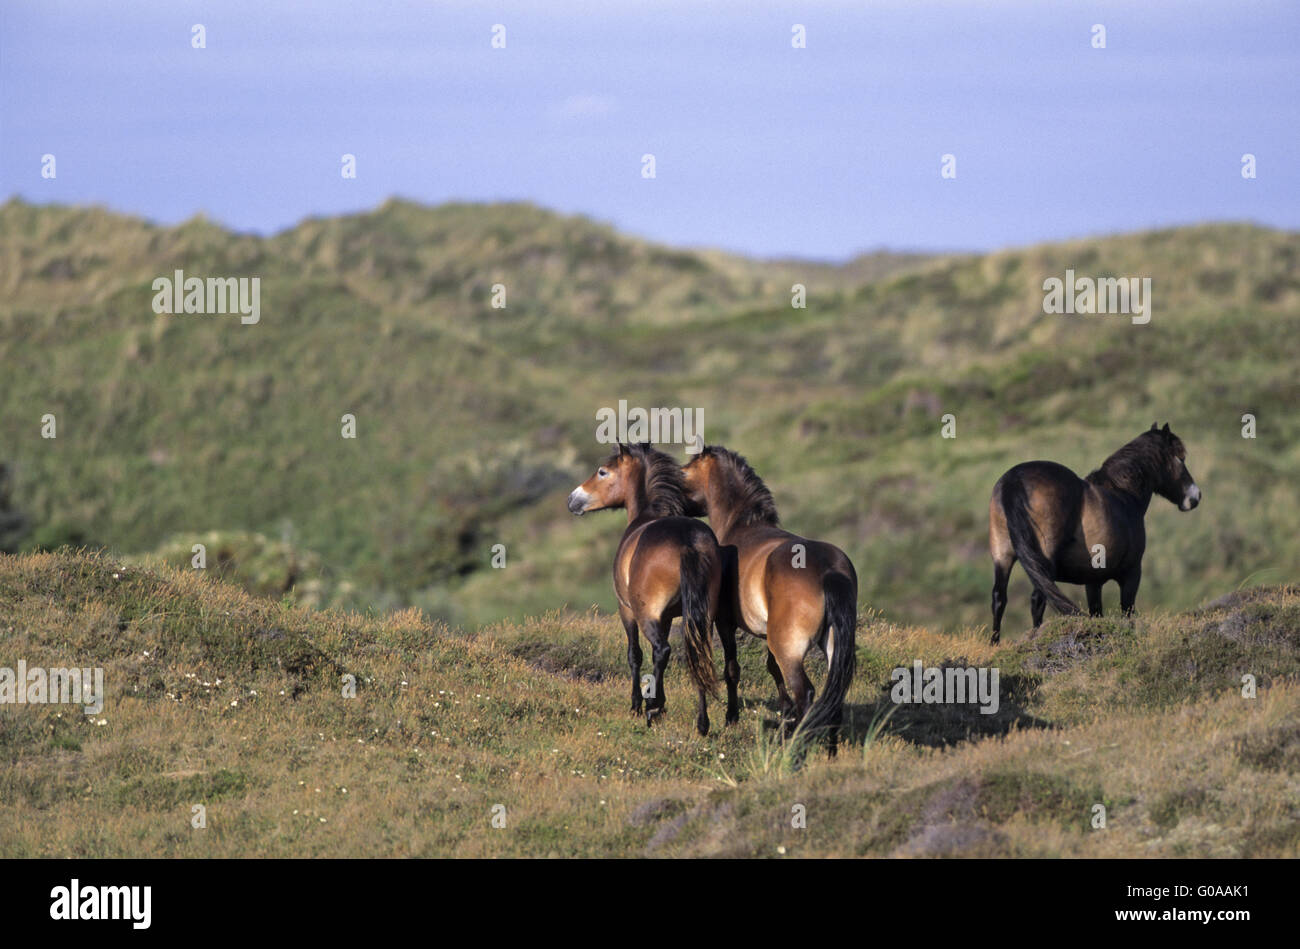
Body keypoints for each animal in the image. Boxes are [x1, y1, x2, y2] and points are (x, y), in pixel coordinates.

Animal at [567, 442, 739, 735]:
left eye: (602, 472)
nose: (572, 499)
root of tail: (688, 542)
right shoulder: (668, 617)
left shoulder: (627, 611)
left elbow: (635, 655)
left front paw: (638, 704)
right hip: (702, 617)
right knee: (698, 654)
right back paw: (702, 723)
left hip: (646, 615)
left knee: (662, 651)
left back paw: (653, 708)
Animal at [681, 445, 857, 752]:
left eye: (684, 472)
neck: (742, 526)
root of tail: (829, 570)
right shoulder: (767, 634)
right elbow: (772, 669)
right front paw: (784, 713)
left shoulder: (725, 623)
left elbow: (732, 669)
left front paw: (731, 717)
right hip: (831, 644)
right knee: (835, 691)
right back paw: (830, 750)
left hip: (790, 649)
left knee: (806, 691)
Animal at [988, 422, 1201, 644]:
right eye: (1180, 457)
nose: (1195, 496)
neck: (1124, 495)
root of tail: (1015, 480)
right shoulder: (1132, 573)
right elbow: (1127, 611)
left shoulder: (1092, 582)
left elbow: (1096, 612)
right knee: (1037, 598)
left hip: (1002, 556)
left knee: (999, 598)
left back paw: (995, 644)